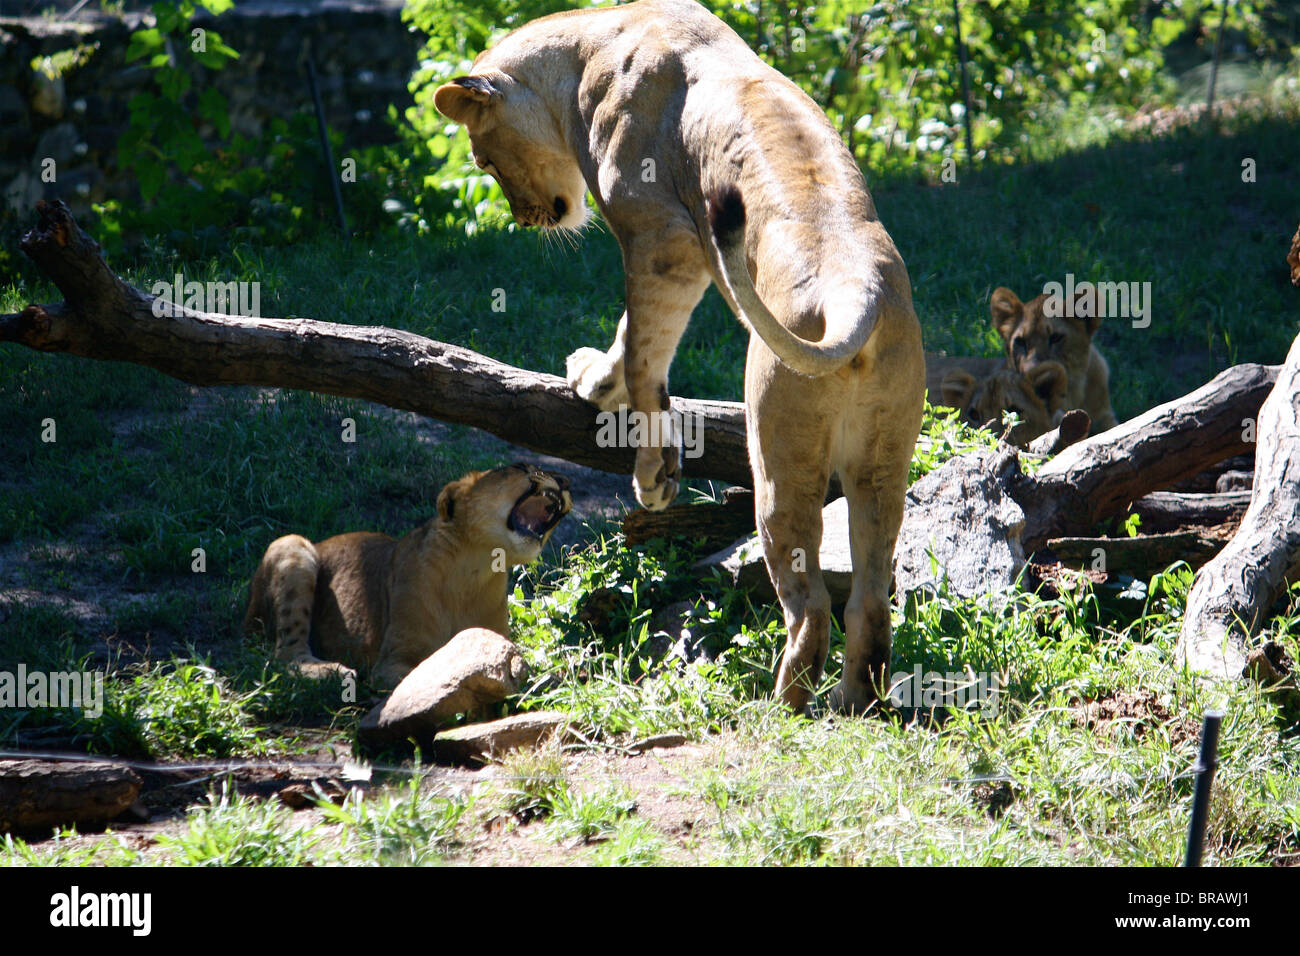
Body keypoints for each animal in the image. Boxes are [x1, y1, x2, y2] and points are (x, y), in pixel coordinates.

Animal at [243, 464, 572, 689]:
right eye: (521, 467)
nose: (566, 481)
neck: (475, 571)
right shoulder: (391, 661)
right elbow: (424, 675)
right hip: (293, 545)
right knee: (284, 654)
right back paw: (332, 672)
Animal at [434, 0, 925, 713]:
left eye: (485, 159)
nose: (523, 218)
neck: (587, 46)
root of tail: (856, 288)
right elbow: (631, 339)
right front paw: (596, 379)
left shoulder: (662, 237)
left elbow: (646, 354)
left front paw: (652, 474)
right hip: (883, 459)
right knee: (869, 594)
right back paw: (855, 699)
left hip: (777, 448)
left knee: (808, 604)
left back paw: (780, 704)